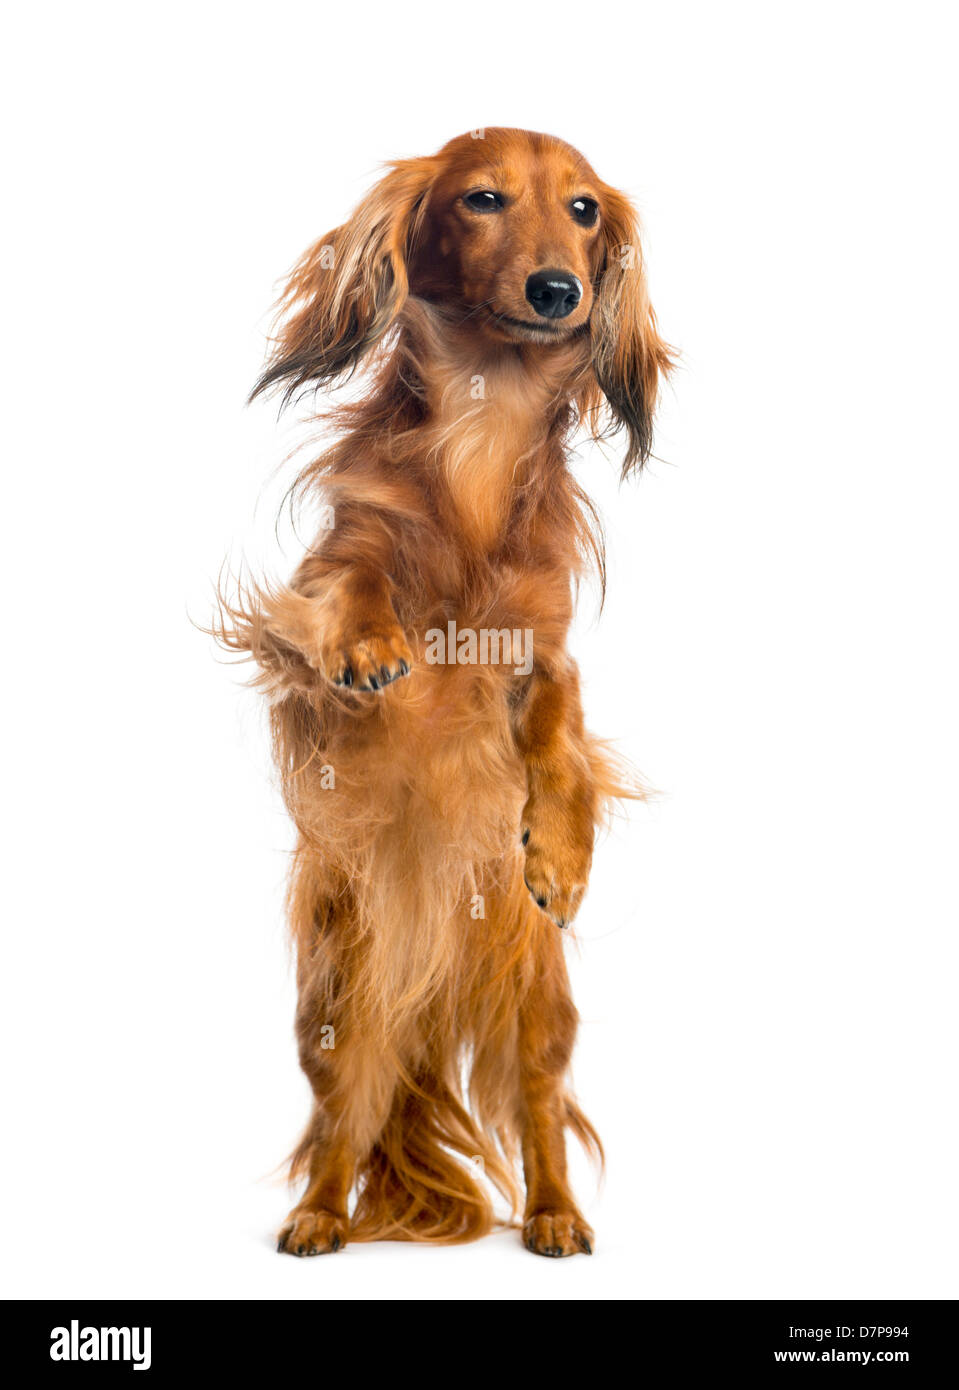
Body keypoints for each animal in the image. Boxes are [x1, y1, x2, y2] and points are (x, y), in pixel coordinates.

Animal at [216, 130, 669, 1262]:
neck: (481, 429)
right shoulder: (317, 604)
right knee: (341, 1120)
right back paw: (316, 1218)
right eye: (482, 199)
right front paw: (375, 642)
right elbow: (355, 591)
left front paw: (556, 854)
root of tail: (429, 993)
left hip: (538, 1010)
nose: (556, 290)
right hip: (335, 1013)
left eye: (584, 210)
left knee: (541, 1113)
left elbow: (556, 739)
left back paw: (555, 1216)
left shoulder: (545, 651)